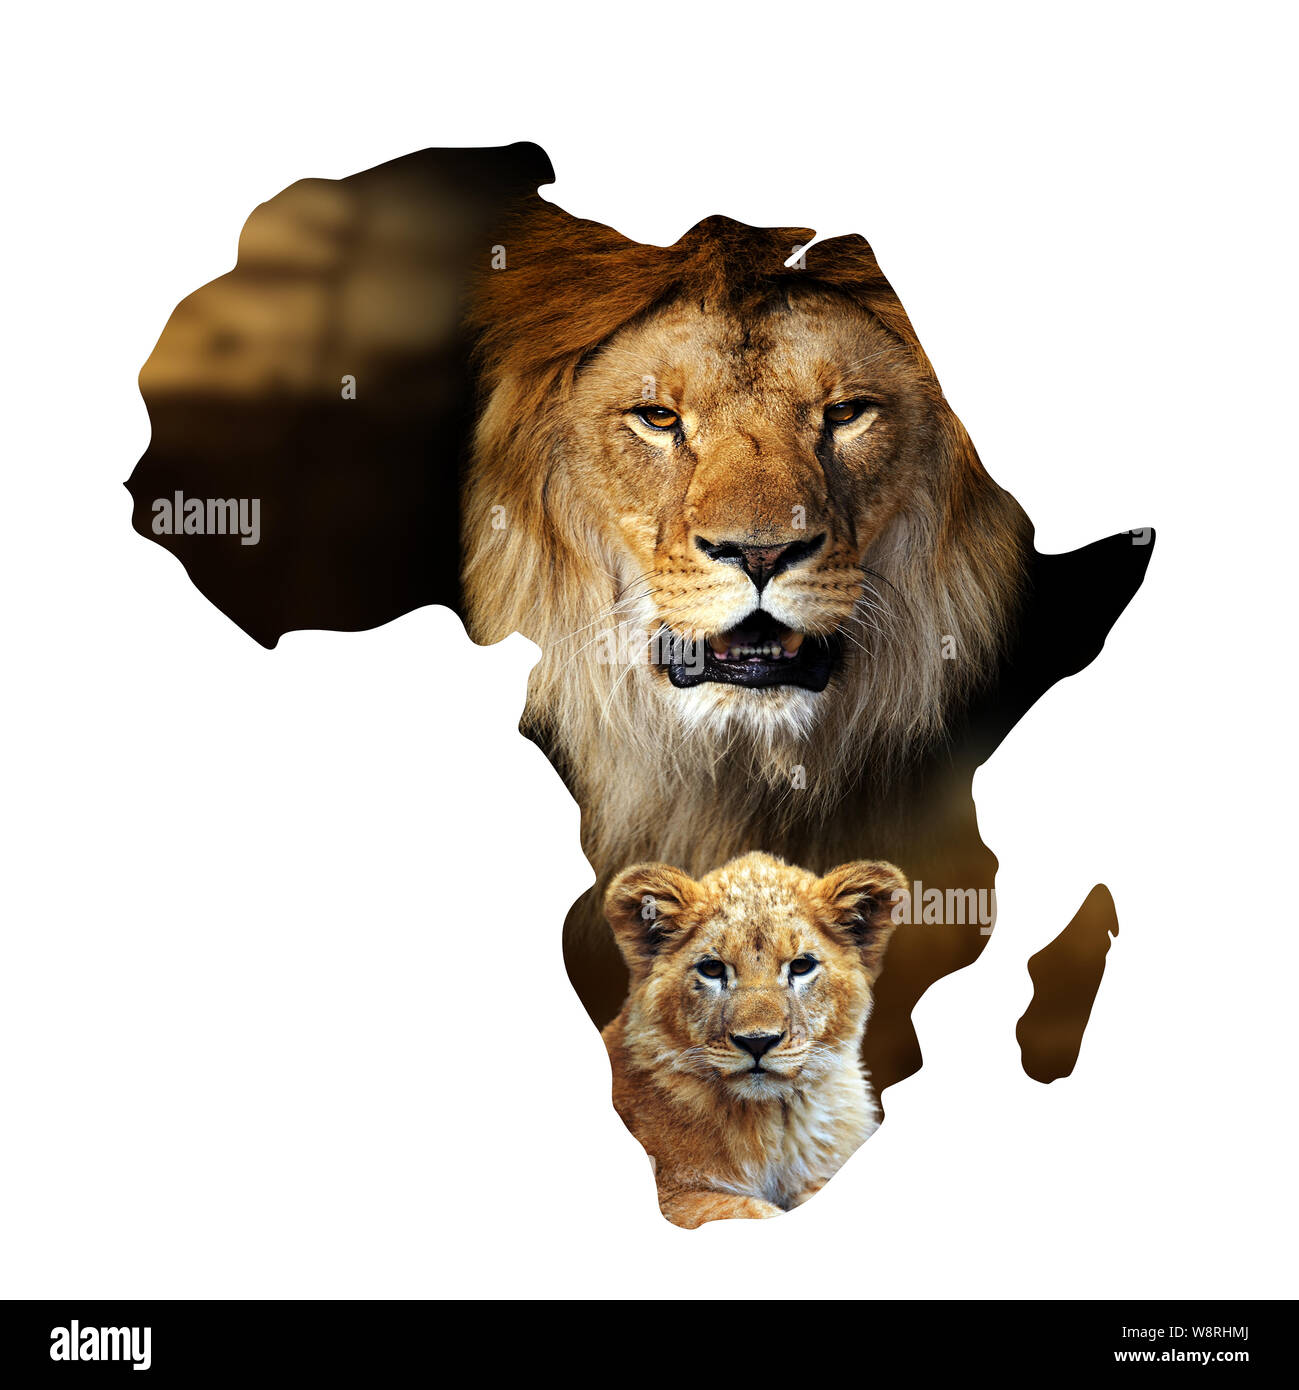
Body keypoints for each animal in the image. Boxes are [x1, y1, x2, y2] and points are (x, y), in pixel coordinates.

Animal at [602, 851, 906, 1227]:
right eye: (712, 969)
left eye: (801, 966)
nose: (758, 1042)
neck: (775, 1122)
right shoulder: (672, 1196)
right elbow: (752, 1210)